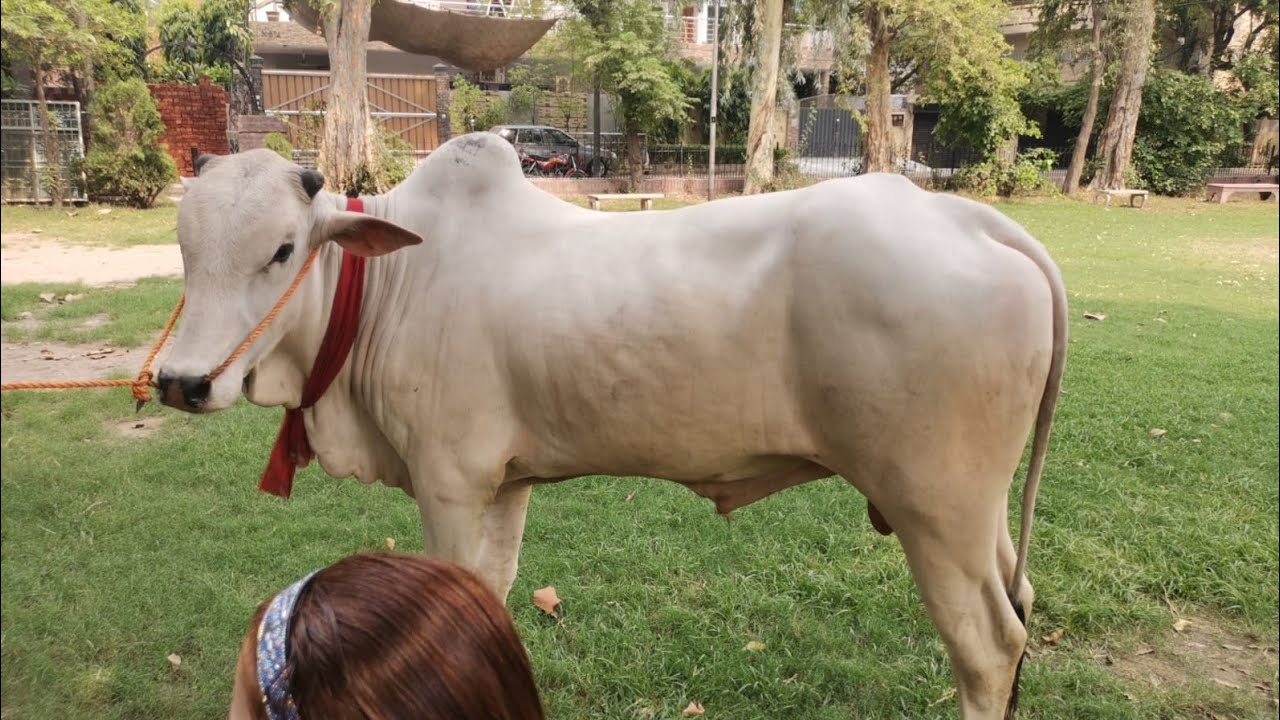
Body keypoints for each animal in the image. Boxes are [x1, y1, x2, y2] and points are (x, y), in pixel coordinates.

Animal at [158, 132, 1066, 719]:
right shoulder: (505, 485)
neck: (392, 281)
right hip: (974, 512)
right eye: (184, 248)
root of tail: (970, 218)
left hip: (933, 509)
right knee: (1019, 610)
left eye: (282, 249)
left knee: (986, 648)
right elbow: (491, 600)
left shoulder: (448, 483)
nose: (180, 381)